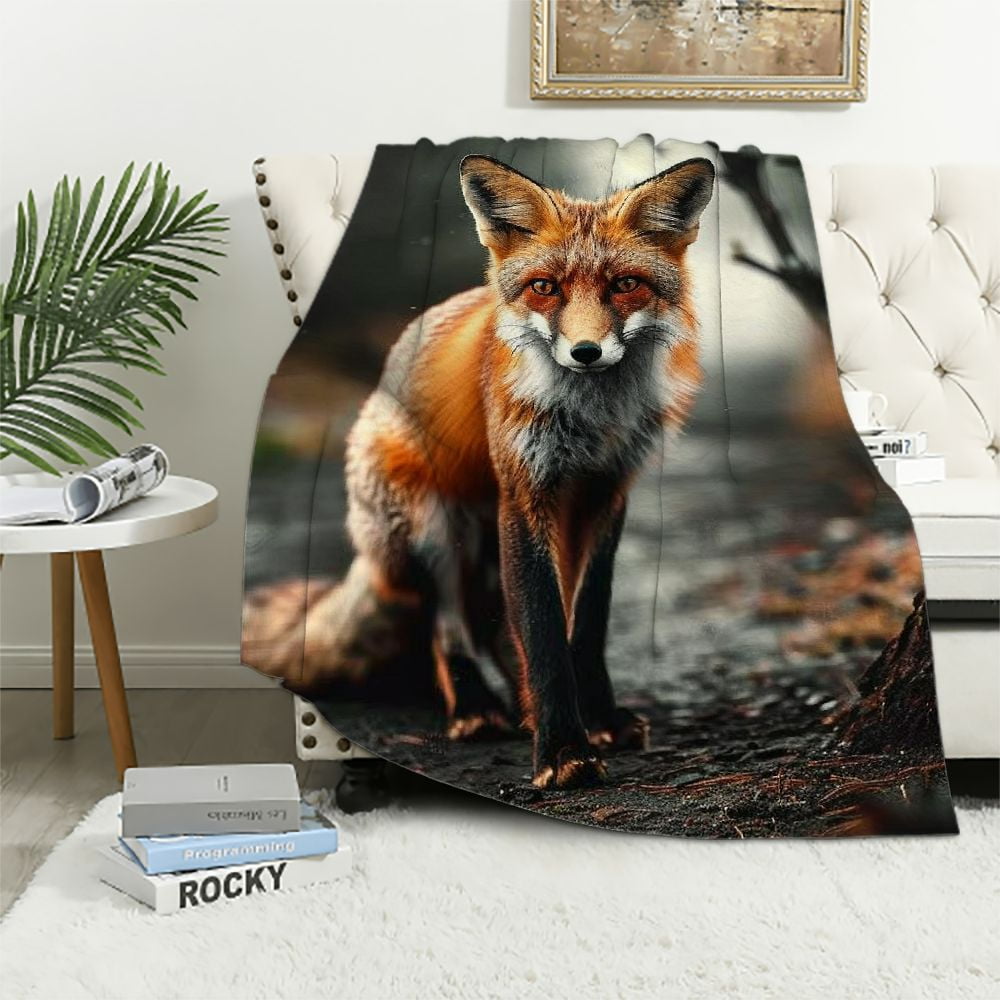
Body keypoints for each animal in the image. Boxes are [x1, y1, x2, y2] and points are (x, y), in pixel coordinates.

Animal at [335, 154, 716, 789]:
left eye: (625, 284)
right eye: (544, 288)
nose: (586, 352)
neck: (592, 420)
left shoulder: (606, 493)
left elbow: (585, 620)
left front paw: (598, 718)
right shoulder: (524, 492)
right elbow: (542, 630)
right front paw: (563, 750)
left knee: (491, 626)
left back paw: (518, 707)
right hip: (435, 528)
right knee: (448, 625)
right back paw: (476, 710)